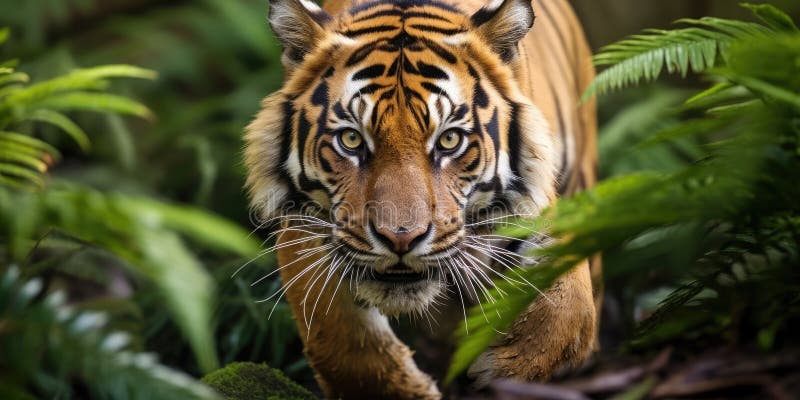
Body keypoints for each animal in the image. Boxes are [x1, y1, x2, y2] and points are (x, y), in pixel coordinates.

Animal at [244, 0, 600, 398]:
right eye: (351, 140)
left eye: (449, 140)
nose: (401, 238)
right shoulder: (306, 226)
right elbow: (341, 341)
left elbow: (569, 303)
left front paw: (505, 368)